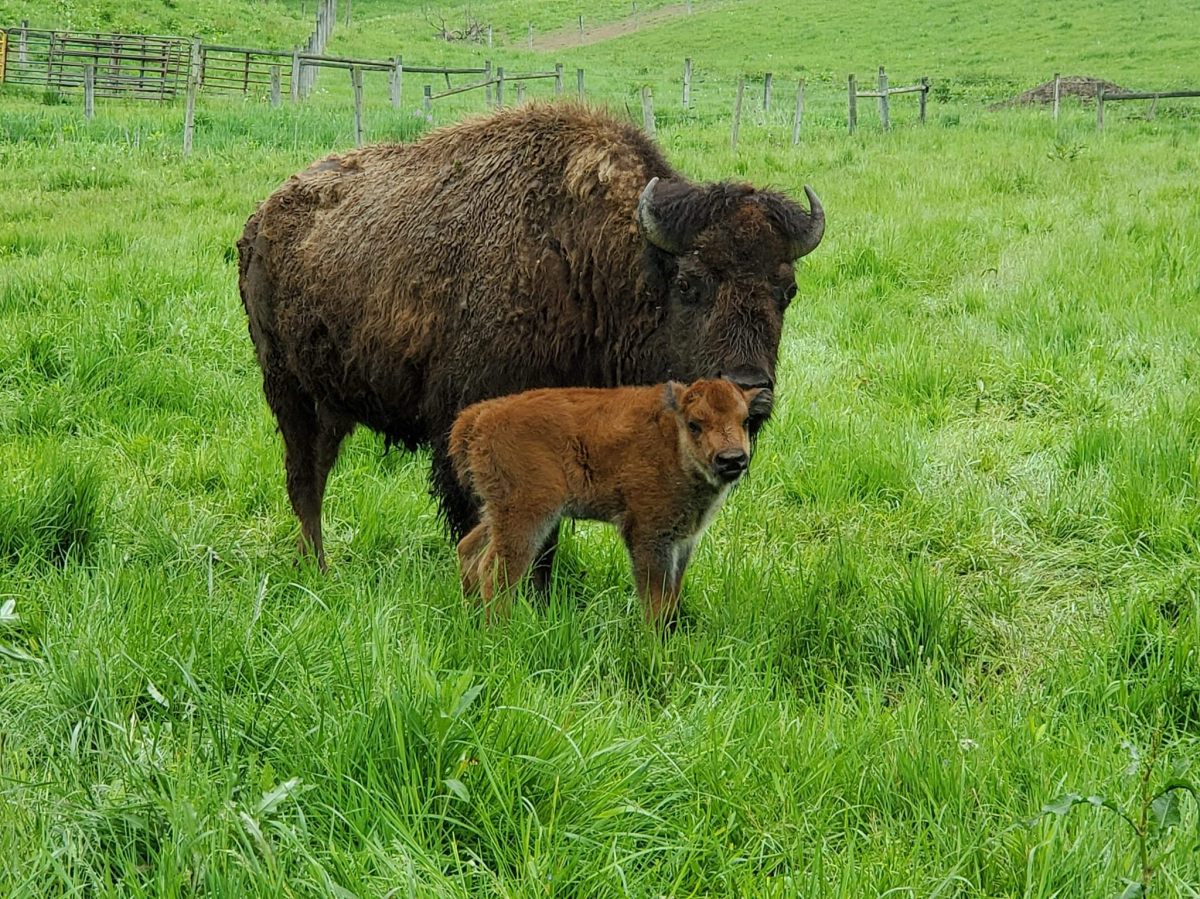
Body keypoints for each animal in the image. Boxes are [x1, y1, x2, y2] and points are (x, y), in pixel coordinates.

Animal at [237, 102, 824, 571]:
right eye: (689, 283)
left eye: (787, 290)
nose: (750, 391)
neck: (592, 260)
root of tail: (263, 215)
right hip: (287, 389)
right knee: (305, 479)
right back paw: (318, 569)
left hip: (333, 400)